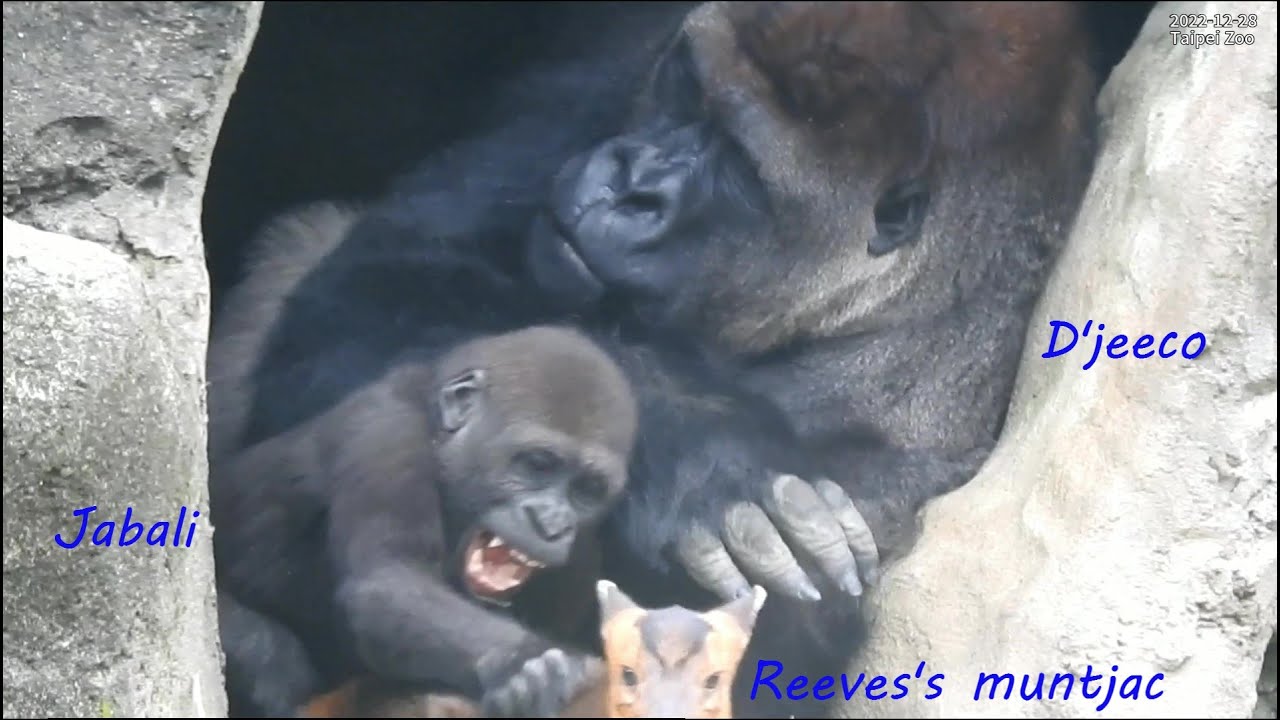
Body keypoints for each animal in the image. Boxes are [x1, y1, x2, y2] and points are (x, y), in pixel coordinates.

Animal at [209, 307, 640, 717]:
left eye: (587, 489)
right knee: (263, 654)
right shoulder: (386, 435)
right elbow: (387, 582)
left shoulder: (582, 555)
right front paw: (521, 661)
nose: (551, 525)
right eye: (538, 464)